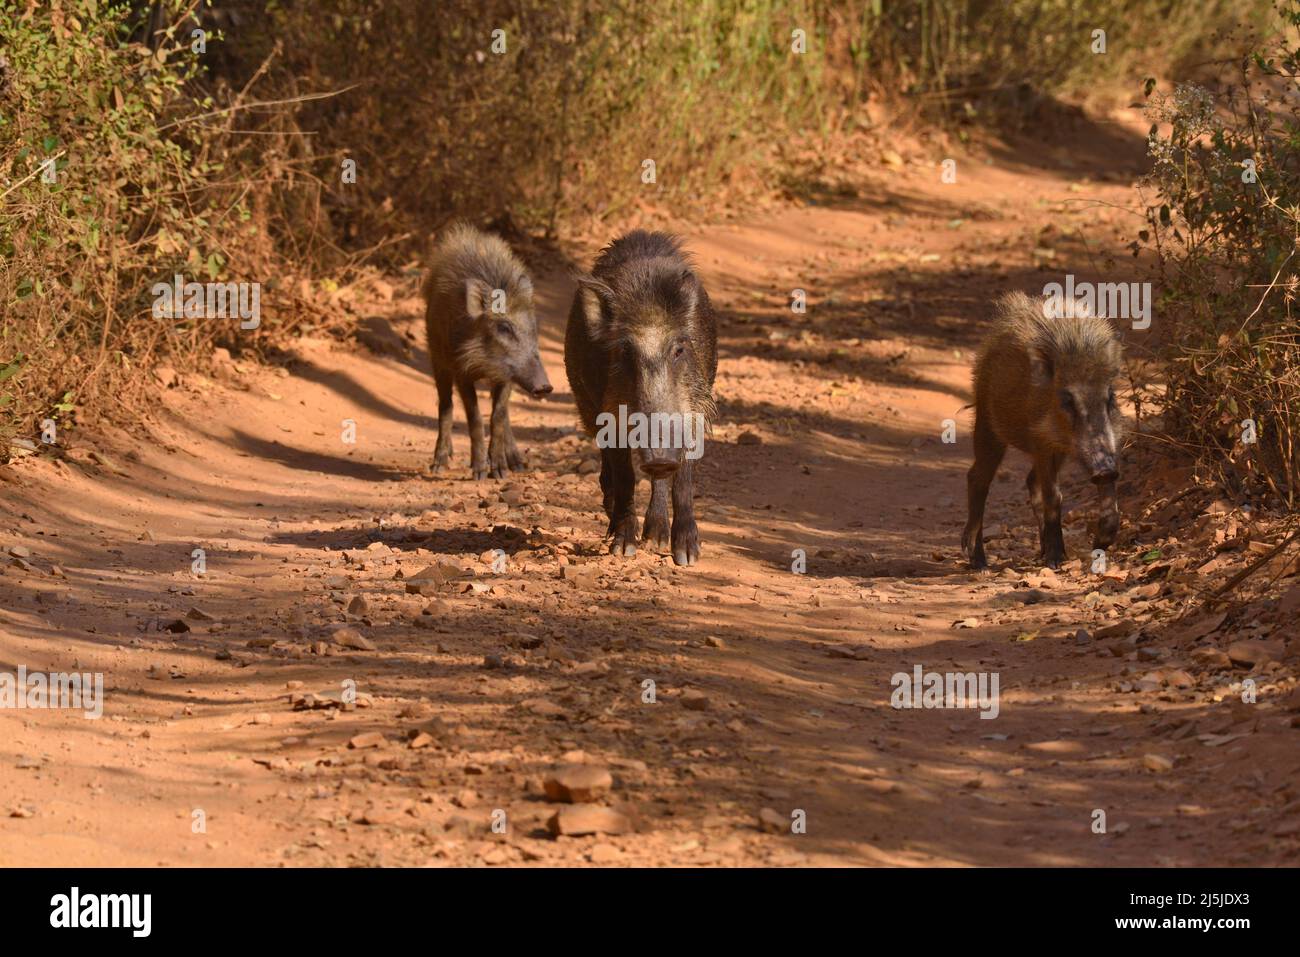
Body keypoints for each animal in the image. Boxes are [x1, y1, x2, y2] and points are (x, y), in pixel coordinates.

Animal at [422, 223, 552, 480]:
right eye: (504, 327)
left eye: (533, 326)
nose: (545, 386)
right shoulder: (461, 371)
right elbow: (474, 418)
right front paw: (479, 472)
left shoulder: (506, 376)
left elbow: (498, 416)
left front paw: (500, 471)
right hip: (437, 359)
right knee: (445, 405)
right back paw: (440, 464)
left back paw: (516, 464)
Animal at [565, 231, 718, 566]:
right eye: (625, 350)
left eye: (679, 349)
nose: (659, 455)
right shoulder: (609, 415)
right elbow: (625, 477)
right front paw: (623, 549)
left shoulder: (694, 409)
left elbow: (683, 480)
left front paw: (686, 556)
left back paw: (656, 539)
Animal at [961, 291, 1123, 570]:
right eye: (1067, 400)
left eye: (1110, 397)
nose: (1105, 469)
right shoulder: (1042, 443)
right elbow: (1054, 496)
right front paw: (1056, 560)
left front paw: (1098, 545)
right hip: (986, 424)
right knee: (977, 478)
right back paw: (979, 562)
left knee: (1030, 481)